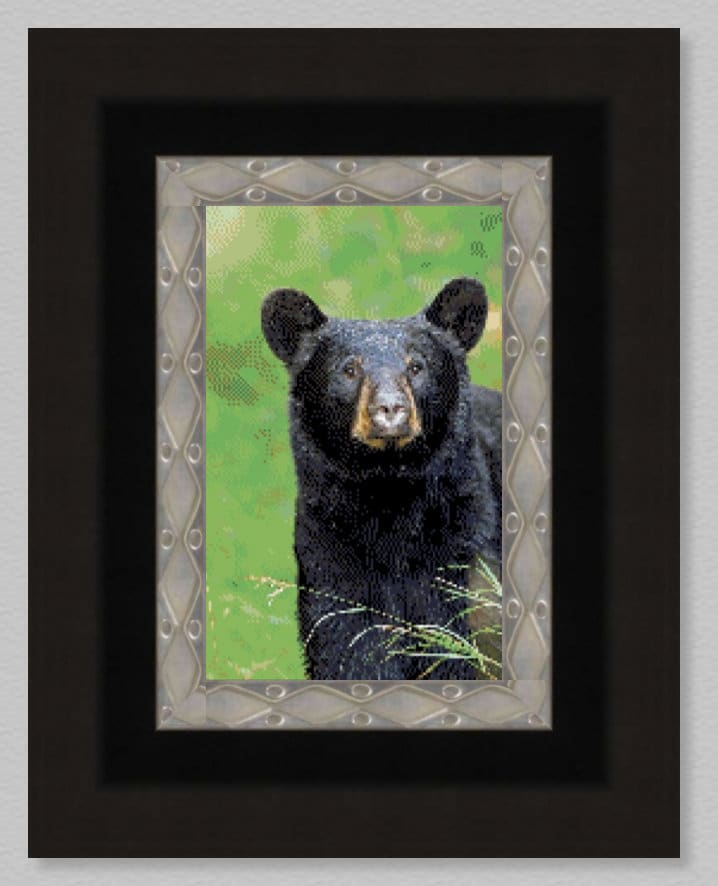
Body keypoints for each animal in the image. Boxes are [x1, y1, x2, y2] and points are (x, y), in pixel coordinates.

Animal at [261, 277, 502, 681]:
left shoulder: (463, 552)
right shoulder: (330, 556)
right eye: (349, 370)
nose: (390, 409)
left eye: (417, 365)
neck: (389, 492)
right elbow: (348, 650)